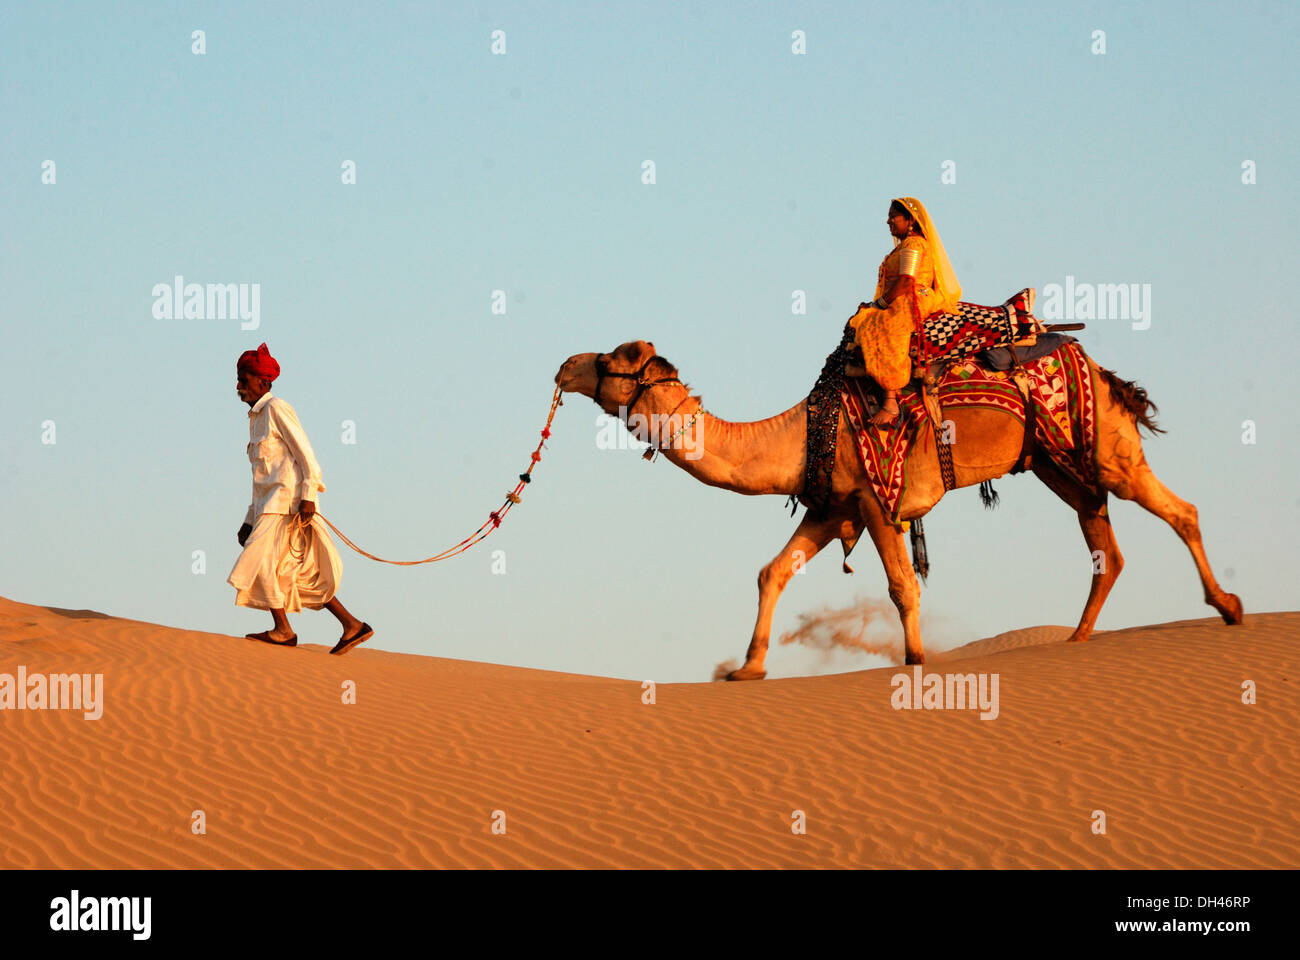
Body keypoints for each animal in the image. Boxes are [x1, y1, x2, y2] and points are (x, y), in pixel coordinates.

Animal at [555, 339, 1244, 679]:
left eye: (615, 359)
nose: (564, 366)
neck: (798, 432)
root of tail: (1102, 371)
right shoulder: (832, 509)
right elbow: (772, 572)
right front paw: (748, 668)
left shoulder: (876, 499)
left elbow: (902, 586)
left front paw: (915, 662)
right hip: (1057, 460)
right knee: (1105, 543)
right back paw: (1076, 639)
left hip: (1104, 450)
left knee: (1178, 510)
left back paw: (1229, 607)